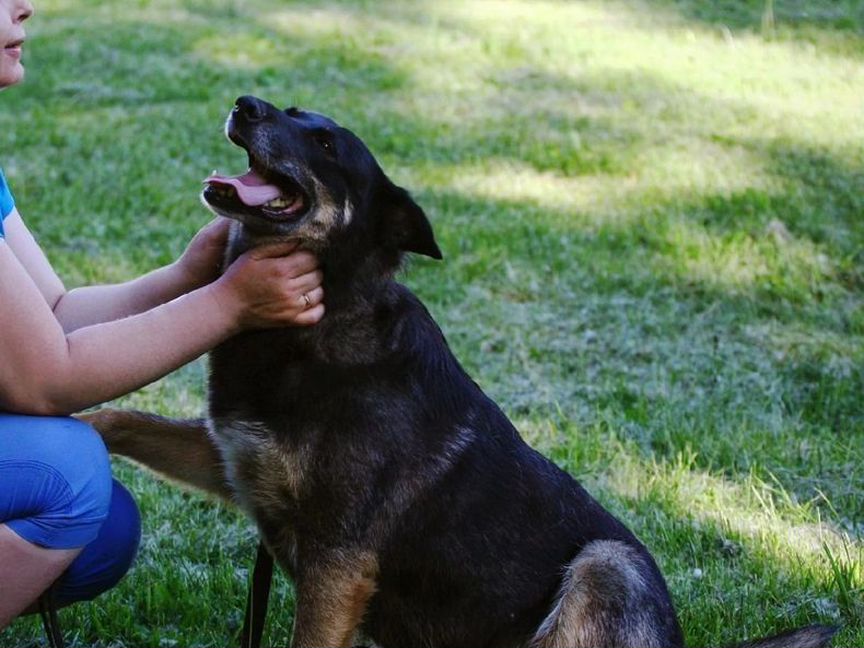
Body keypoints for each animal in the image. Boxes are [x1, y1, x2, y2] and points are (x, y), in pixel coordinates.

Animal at [81, 97, 836, 648]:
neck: (323, 314)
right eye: (289, 112)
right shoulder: (232, 463)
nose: (245, 102)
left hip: (605, 567)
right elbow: (120, 417)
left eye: (327, 145)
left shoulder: (337, 561)